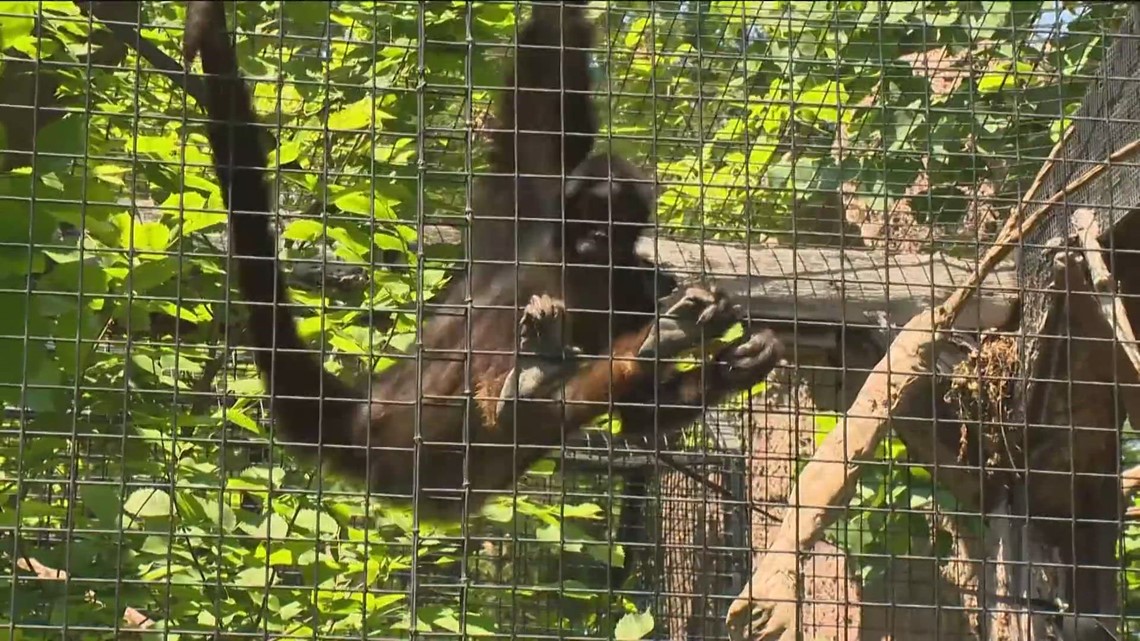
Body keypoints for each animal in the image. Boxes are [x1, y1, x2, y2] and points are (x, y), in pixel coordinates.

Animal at [182, 0, 784, 519]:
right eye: (588, 214)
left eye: (612, 223)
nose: (593, 237)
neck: (585, 270)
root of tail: (362, 415)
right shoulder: (533, 200)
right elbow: (550, 50)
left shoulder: (639, 282)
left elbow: (638, 410)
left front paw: (737, 366)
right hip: (417, 420)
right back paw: (548, 377)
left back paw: (631, 350)